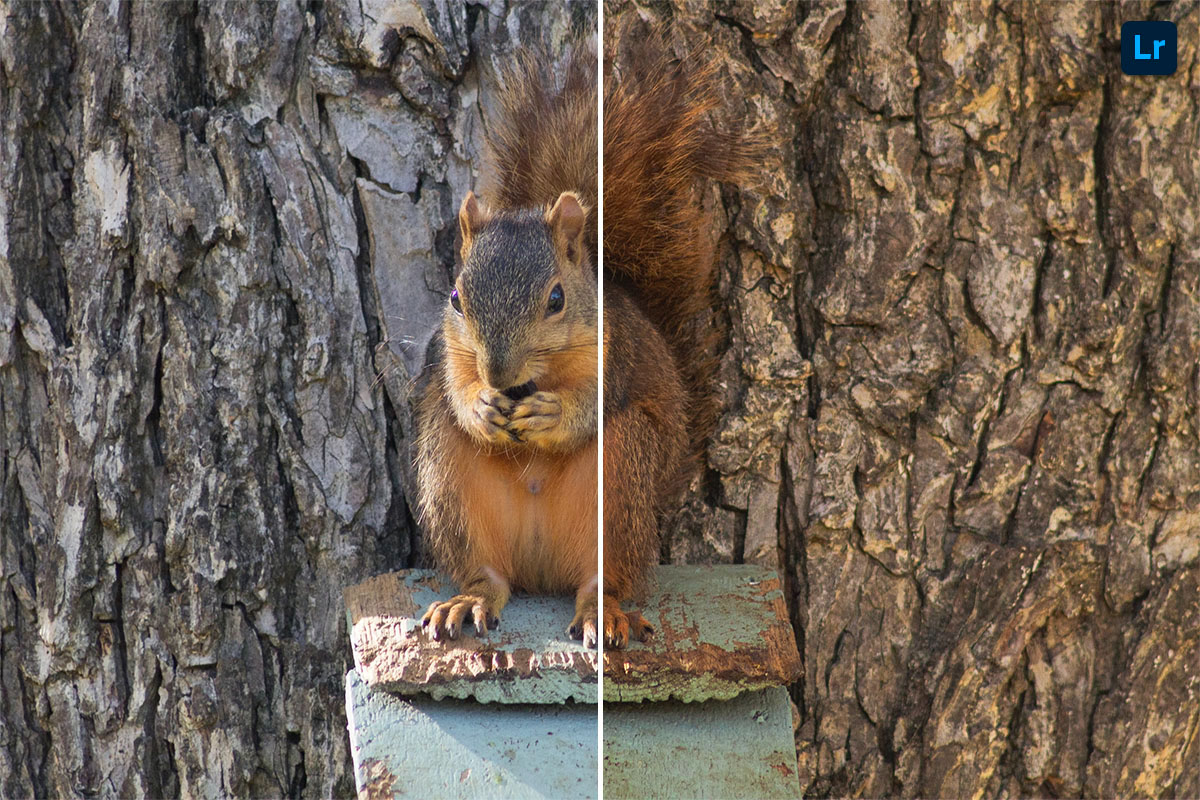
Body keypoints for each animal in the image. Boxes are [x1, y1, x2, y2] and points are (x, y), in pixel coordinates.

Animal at [415, 34, 756, 649]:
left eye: (556, 299)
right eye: (456, 296)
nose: (499, 375)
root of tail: (541, 565)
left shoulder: (613, 353)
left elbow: (590, 405)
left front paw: (551, 413)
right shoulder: (449, 350)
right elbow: (455, 385)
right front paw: (481, 403)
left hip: (622, 478)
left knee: (604, 575)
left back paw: (603, 612)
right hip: (447, 475)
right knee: (486, 571)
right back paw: (467, 599)